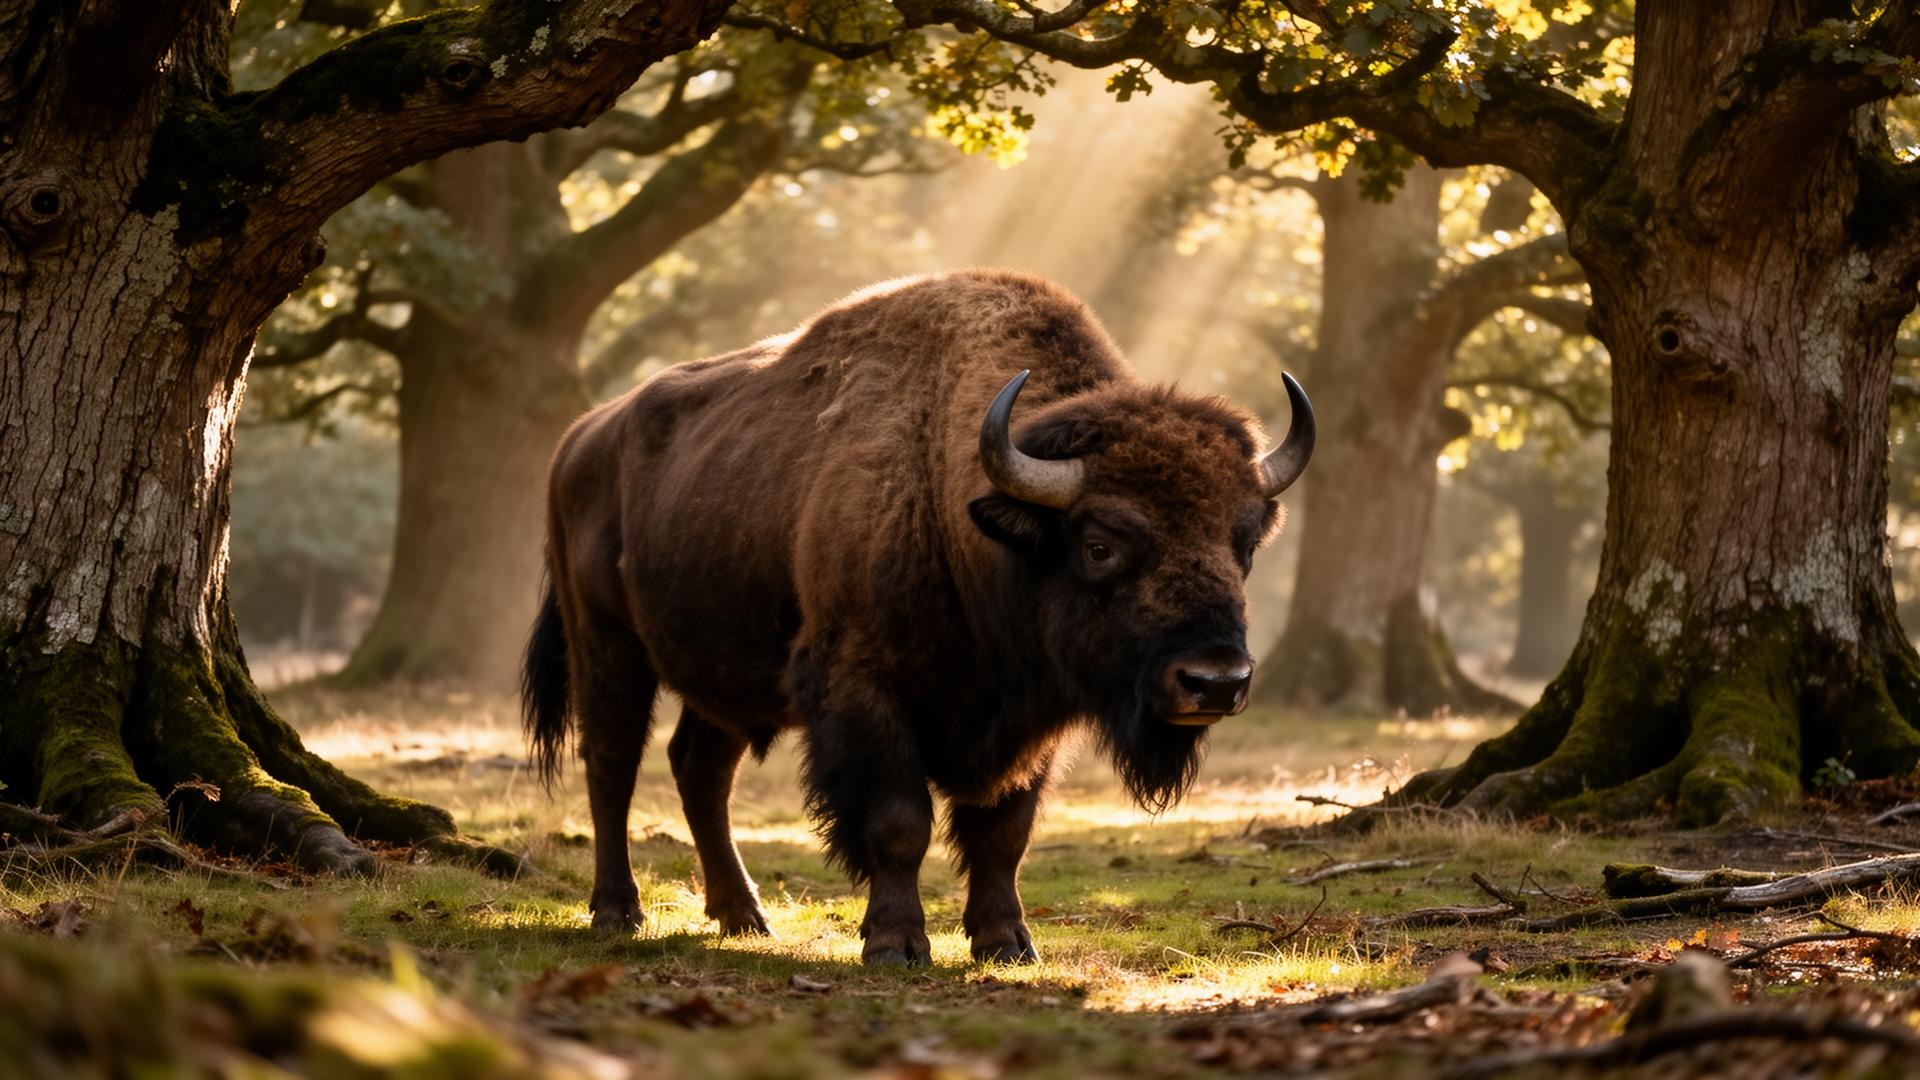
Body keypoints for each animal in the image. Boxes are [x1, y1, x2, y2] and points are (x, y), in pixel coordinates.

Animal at [523, 270, 1313, 965]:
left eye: (1244, 542)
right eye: (1100, 545)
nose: (1214, 681)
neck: (955, 502)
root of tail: (578, 440)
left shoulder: (1031, 723)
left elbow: (1004, 831)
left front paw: (1007, 942)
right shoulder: (865, 693)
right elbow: (899, 823)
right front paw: (896, 945)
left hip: (723, 675)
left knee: (701, 770)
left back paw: (745, 917)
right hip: (606, 647)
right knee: (612, 762)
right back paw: (618, 912)